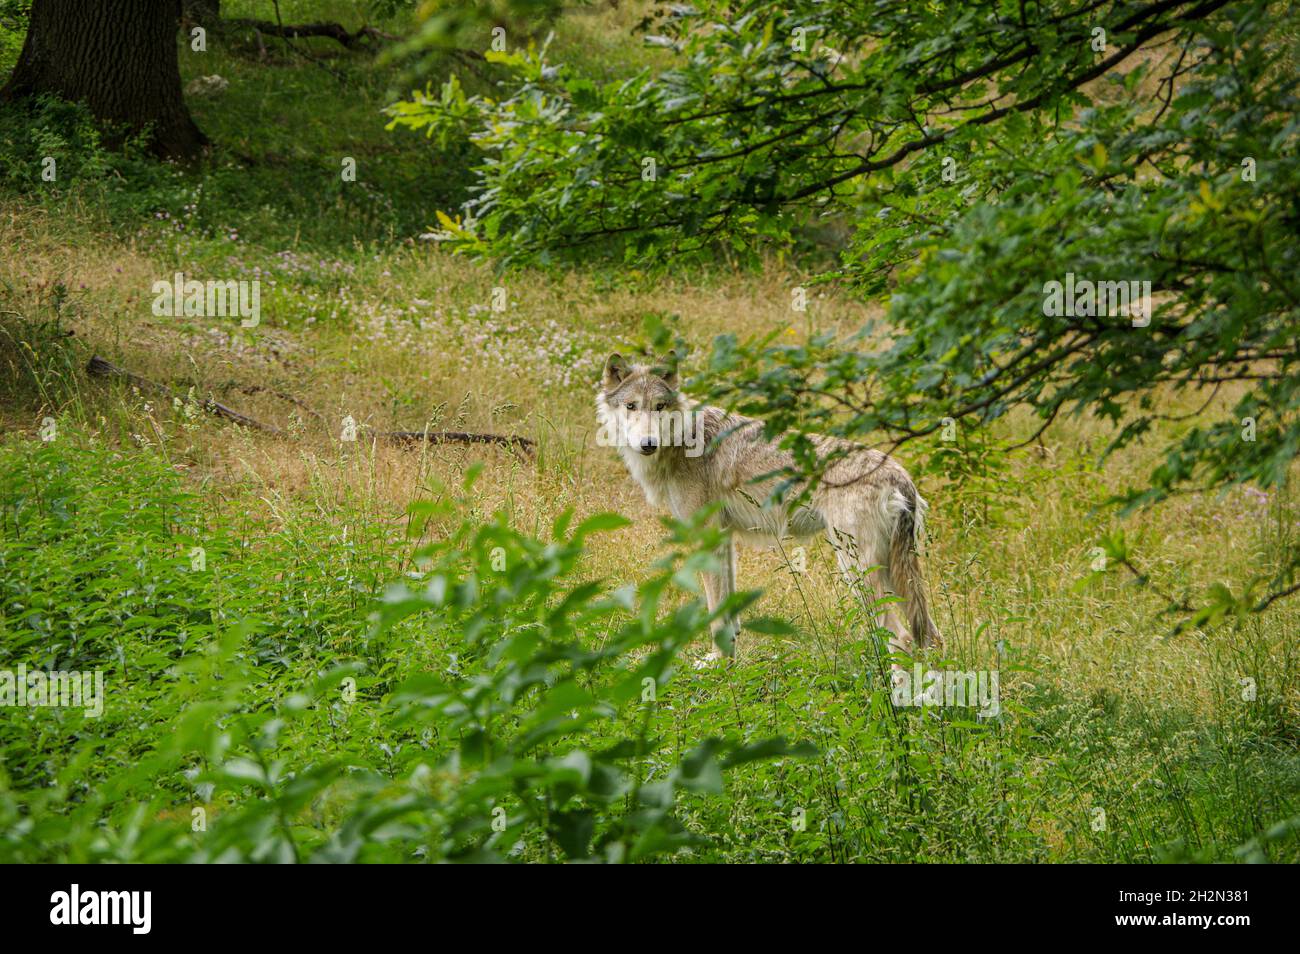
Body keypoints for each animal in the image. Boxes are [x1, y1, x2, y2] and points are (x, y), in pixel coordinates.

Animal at [597, 351, 942, 664]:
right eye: (631, 406)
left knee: (902, 637)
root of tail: (899, 476)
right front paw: (729, 657)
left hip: (857, 569)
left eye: (660, 406)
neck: (682, 442)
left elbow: (715, 613)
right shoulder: (724, 539)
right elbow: (728, 611)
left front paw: (718, 665)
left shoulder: (707, 538)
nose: (648, 444)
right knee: (931, 637)